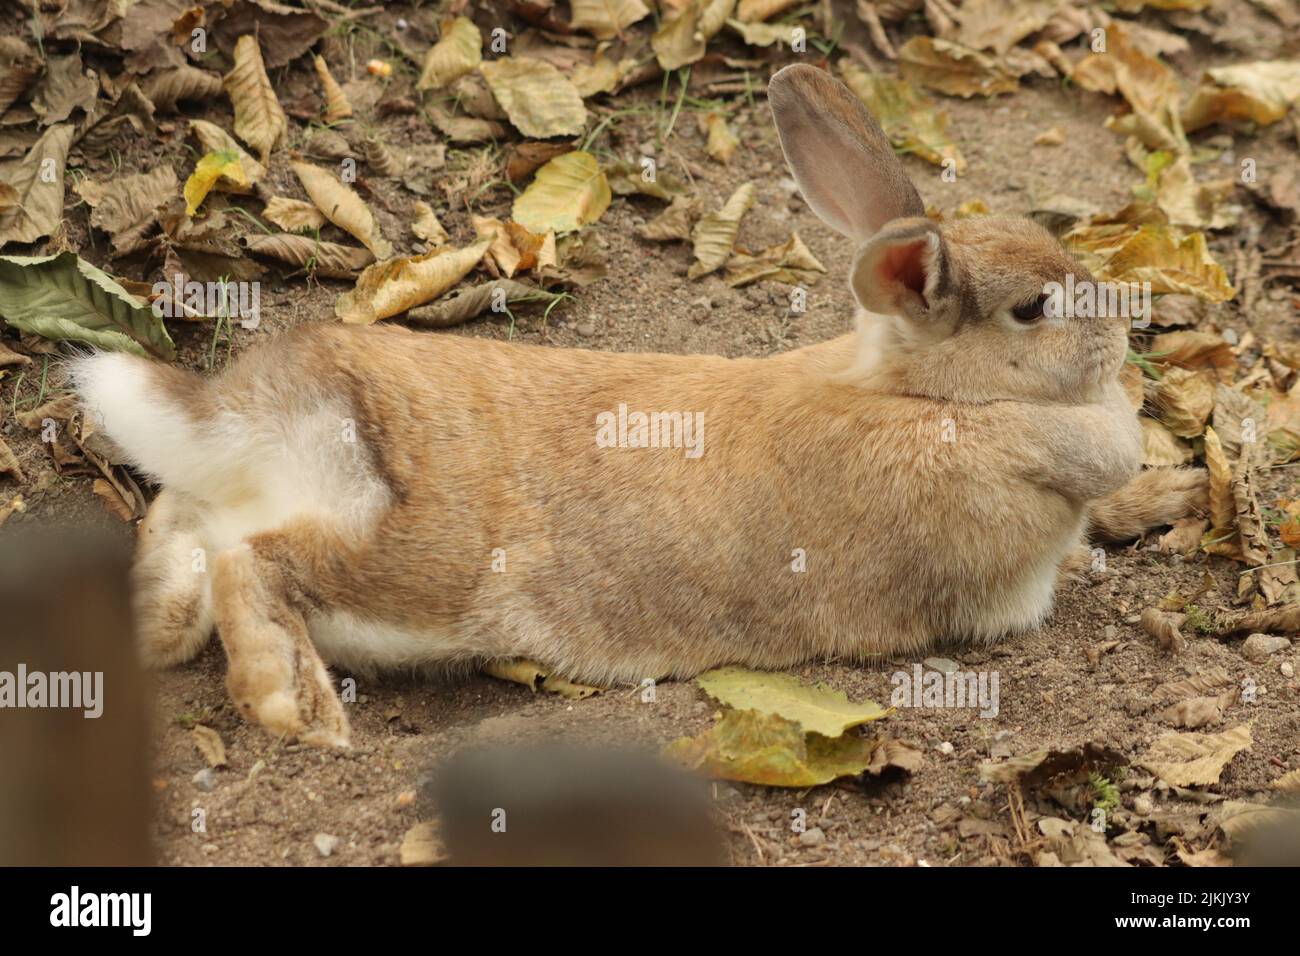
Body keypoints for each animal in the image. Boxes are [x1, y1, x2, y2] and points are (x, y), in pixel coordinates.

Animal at [70, 64, 1206, 748]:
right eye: (1034, 309)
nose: (1122, 336)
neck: (921, 392)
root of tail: (259, 412)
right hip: (418, 568)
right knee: (251, 560)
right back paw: (295, 707)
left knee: (186, 534)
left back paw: (159, 632)